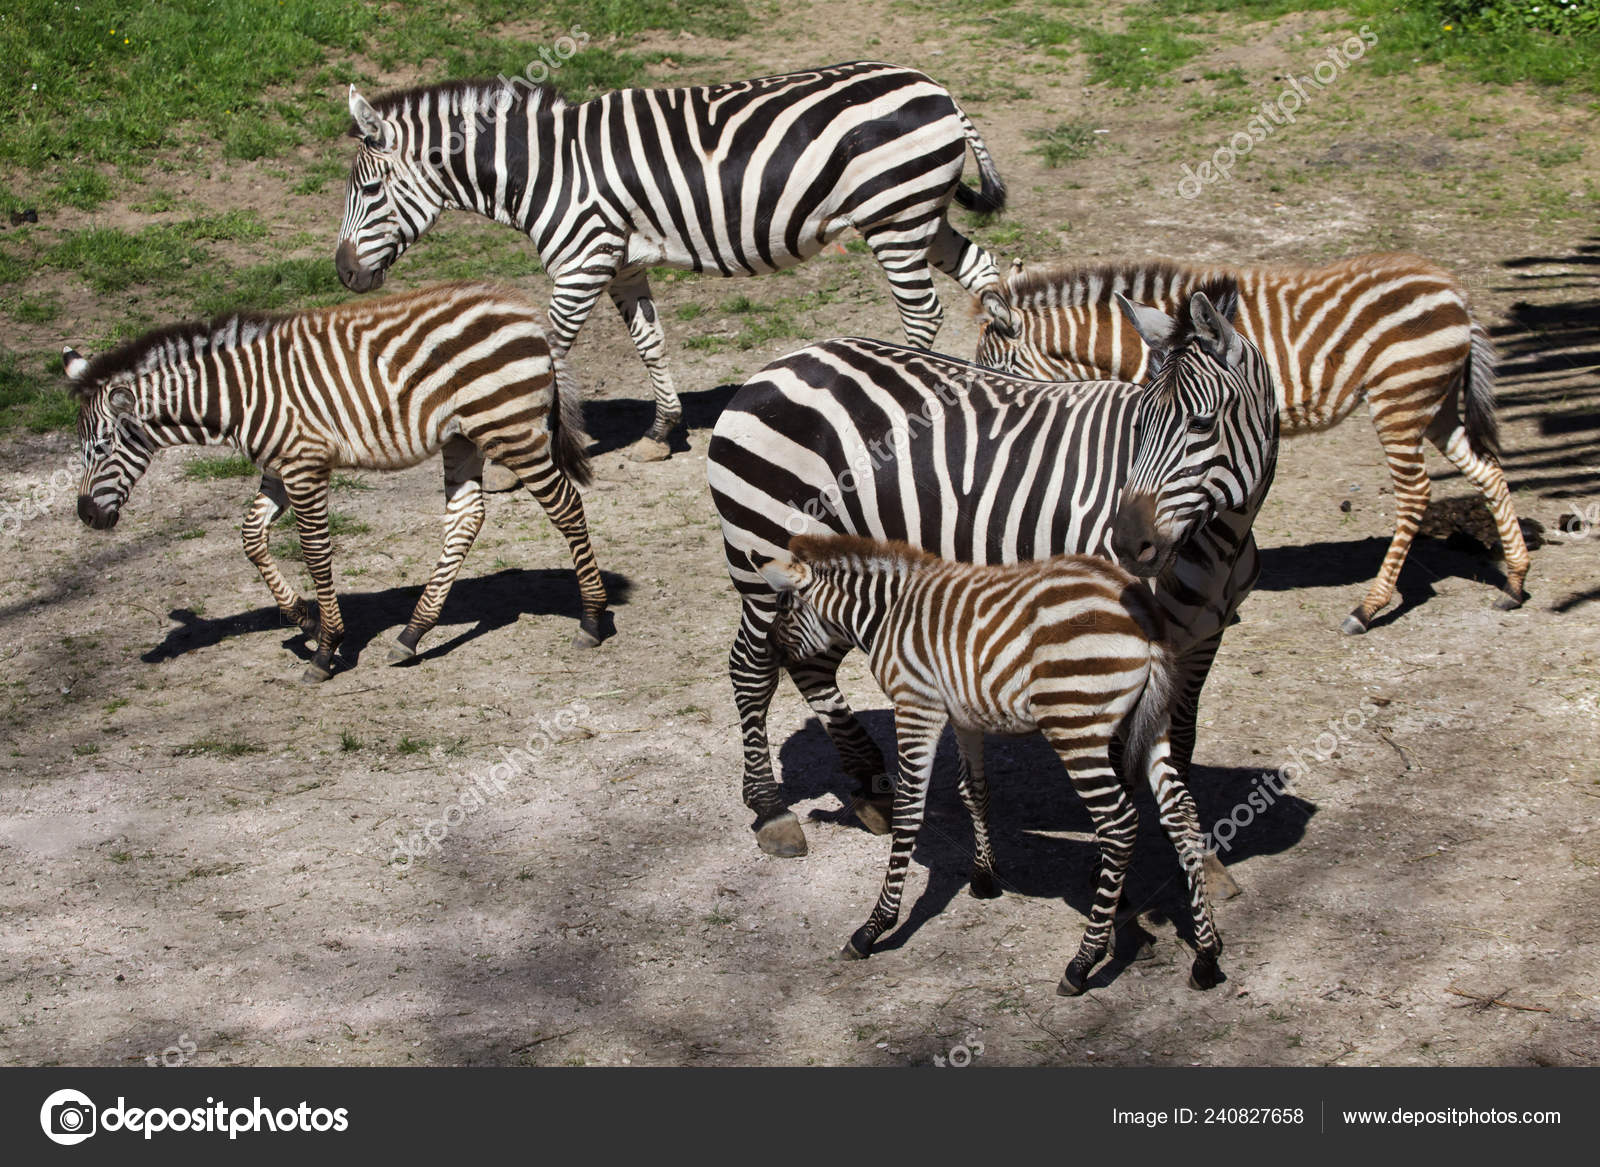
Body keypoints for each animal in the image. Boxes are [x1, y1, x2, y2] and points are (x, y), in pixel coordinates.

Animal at [67, 281, 607, 684]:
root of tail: (528, 315)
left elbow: (314, 552)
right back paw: (412, 634)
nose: (86, 515)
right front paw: (303, 619)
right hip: (463, 436)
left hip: (510, 429)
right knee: (466, 517)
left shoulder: (305, 465)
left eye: (101, 447)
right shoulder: (279, 466)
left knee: (566, 506)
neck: (241, 395)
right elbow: (251, 537)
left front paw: (326, 648)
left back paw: (592, 620)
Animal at [336, 61, 1016, 462]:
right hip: (923, 215)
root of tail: (938, 90)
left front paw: (539, 443)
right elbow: (650, 343)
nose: (342, 274)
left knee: (923, 314)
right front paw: (661, 434)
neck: (547, 168)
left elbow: (552, 347)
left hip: (895, 216)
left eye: (368, 191)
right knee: (985, 273)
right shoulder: (621, 263)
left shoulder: (583, 258)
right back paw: (989, 380)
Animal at [707, 284, 1279, 874]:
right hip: (761, 557)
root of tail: (778, 364)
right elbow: (1127, 751)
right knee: (752, 669)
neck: (1222, 540)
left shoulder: (1201, 640)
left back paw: (871, 787)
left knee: (809, 662)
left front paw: (1199, 859)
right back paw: (771, 810)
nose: (1125, 544)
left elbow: (1180, 742)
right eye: (1138, 428)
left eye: (1202, 425)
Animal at [757, 534, 1223, 993]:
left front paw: (874, 927)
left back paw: (1082, 962)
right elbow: (974, 790)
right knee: (1181, 814)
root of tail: (1139, 605)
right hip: (1151, 722)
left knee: (1119, 824)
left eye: (785, 606)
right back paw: (1206, 953)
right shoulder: (964, 715)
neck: (887, 614)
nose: (772, 653)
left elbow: (909, 810)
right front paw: (983, 876)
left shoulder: (916, 706)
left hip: (1076, 727)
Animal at [973, 253, 1529, 633]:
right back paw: (1515, 582)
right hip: (1434, 402)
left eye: (998, 365)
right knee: (1486, 468)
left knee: (1416, 493)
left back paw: (1368, 607)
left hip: (1401, 398)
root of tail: (1456, 292)